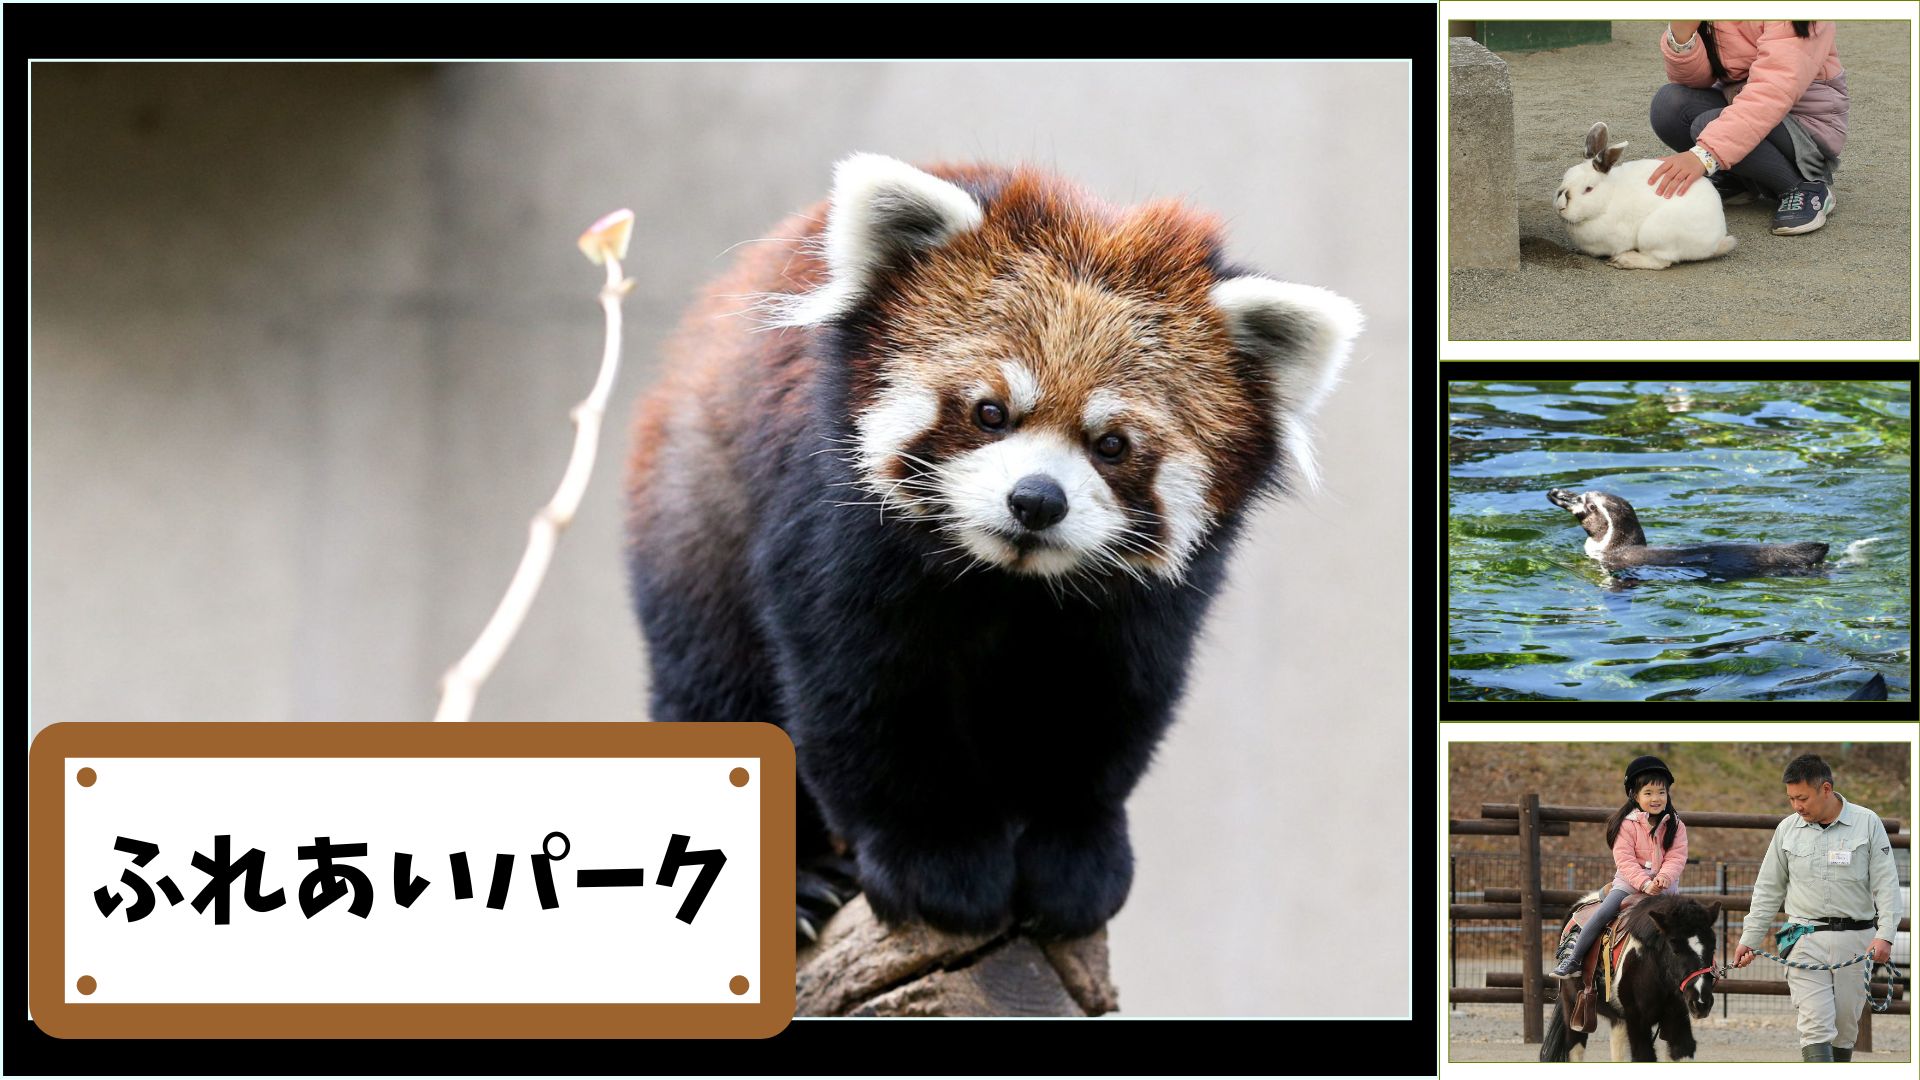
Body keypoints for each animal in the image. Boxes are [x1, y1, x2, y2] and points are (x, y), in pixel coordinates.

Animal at [1541, 893, 1721, 1062]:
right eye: (1675, 949)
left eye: (1713, 948)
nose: (1701, 1002)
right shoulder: (1637, 1020)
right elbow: (1643, 1056)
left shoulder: (1677, 1018)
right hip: (1573, 1008)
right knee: (1575, 1049)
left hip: (1618, 1020)